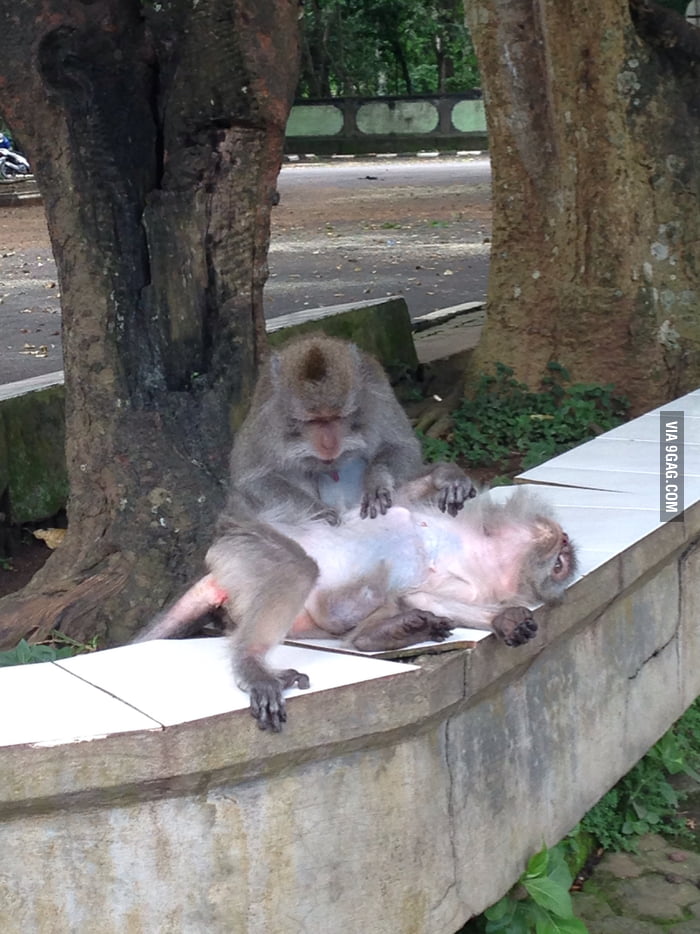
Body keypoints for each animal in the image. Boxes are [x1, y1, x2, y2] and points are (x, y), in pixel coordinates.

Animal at [138, 486, 577, 731]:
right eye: (561, 558)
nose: (564, 556)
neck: (480, 553)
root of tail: (217, 571)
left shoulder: (467, 585)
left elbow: (423, 595)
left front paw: (503, 619)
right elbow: (390, 506)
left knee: (375, 601)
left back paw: (381, 631)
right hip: (246, 549)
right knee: (297, 569)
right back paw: (254, 662)